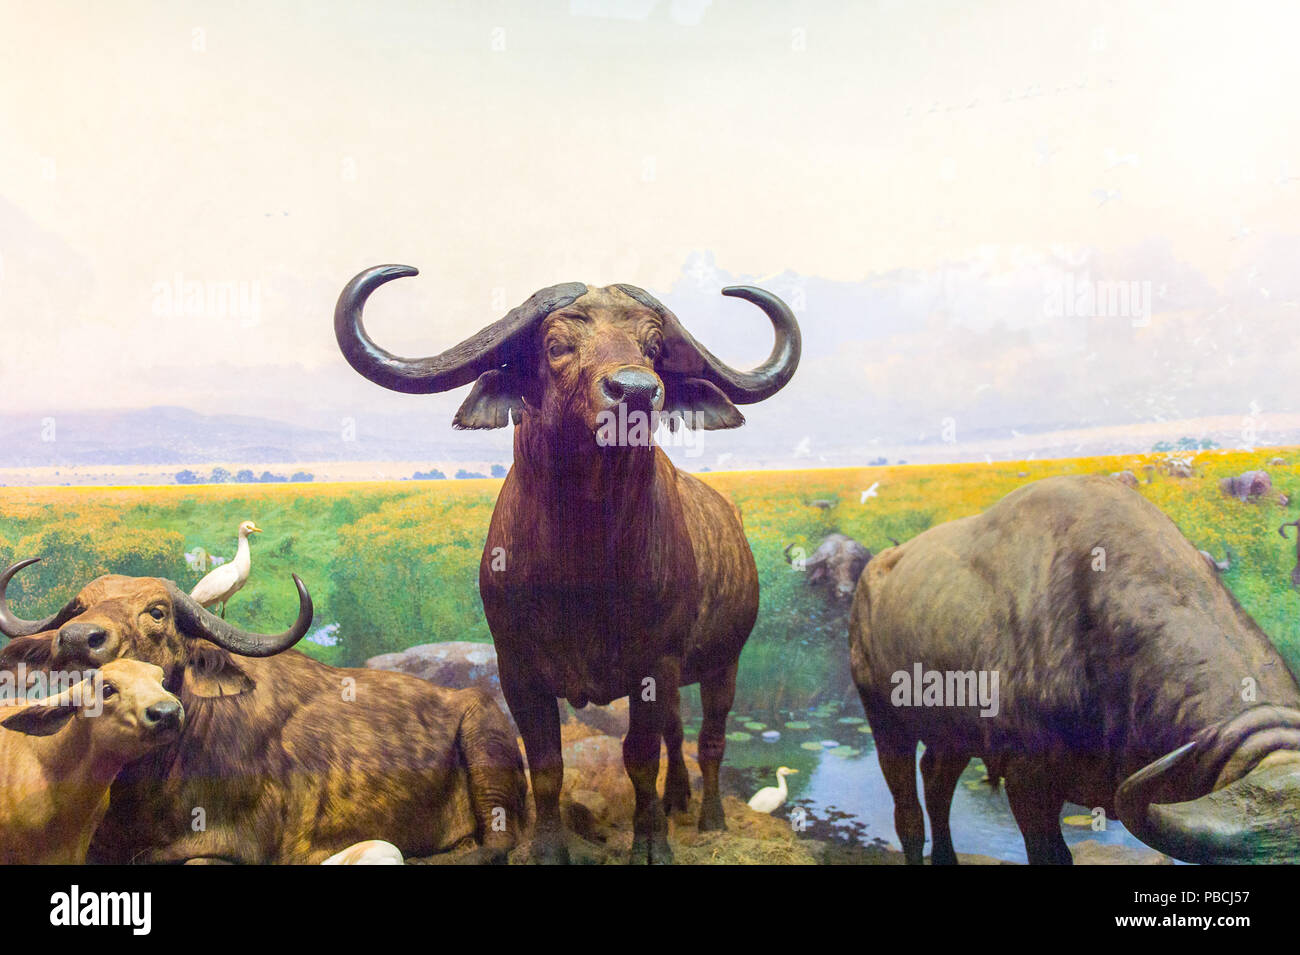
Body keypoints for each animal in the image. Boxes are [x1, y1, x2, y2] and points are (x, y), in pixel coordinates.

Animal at [0, 561, 527, 864]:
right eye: (77, 608)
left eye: (156, 611)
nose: (75, 639)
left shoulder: (238, 849)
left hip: (486, 744)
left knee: (498, 847)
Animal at [335, 265, 800, 863]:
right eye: (556, 346)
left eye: (654, 347)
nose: (636, 391)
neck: (585, 560)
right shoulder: (517, 669)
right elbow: (547, 765)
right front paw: (549, 846)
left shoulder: (656, 666)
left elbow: (640, 756)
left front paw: (652, 843)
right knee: (679, 734)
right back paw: (678, 801)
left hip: (726, 662)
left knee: (711, 740)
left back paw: (710, 818)